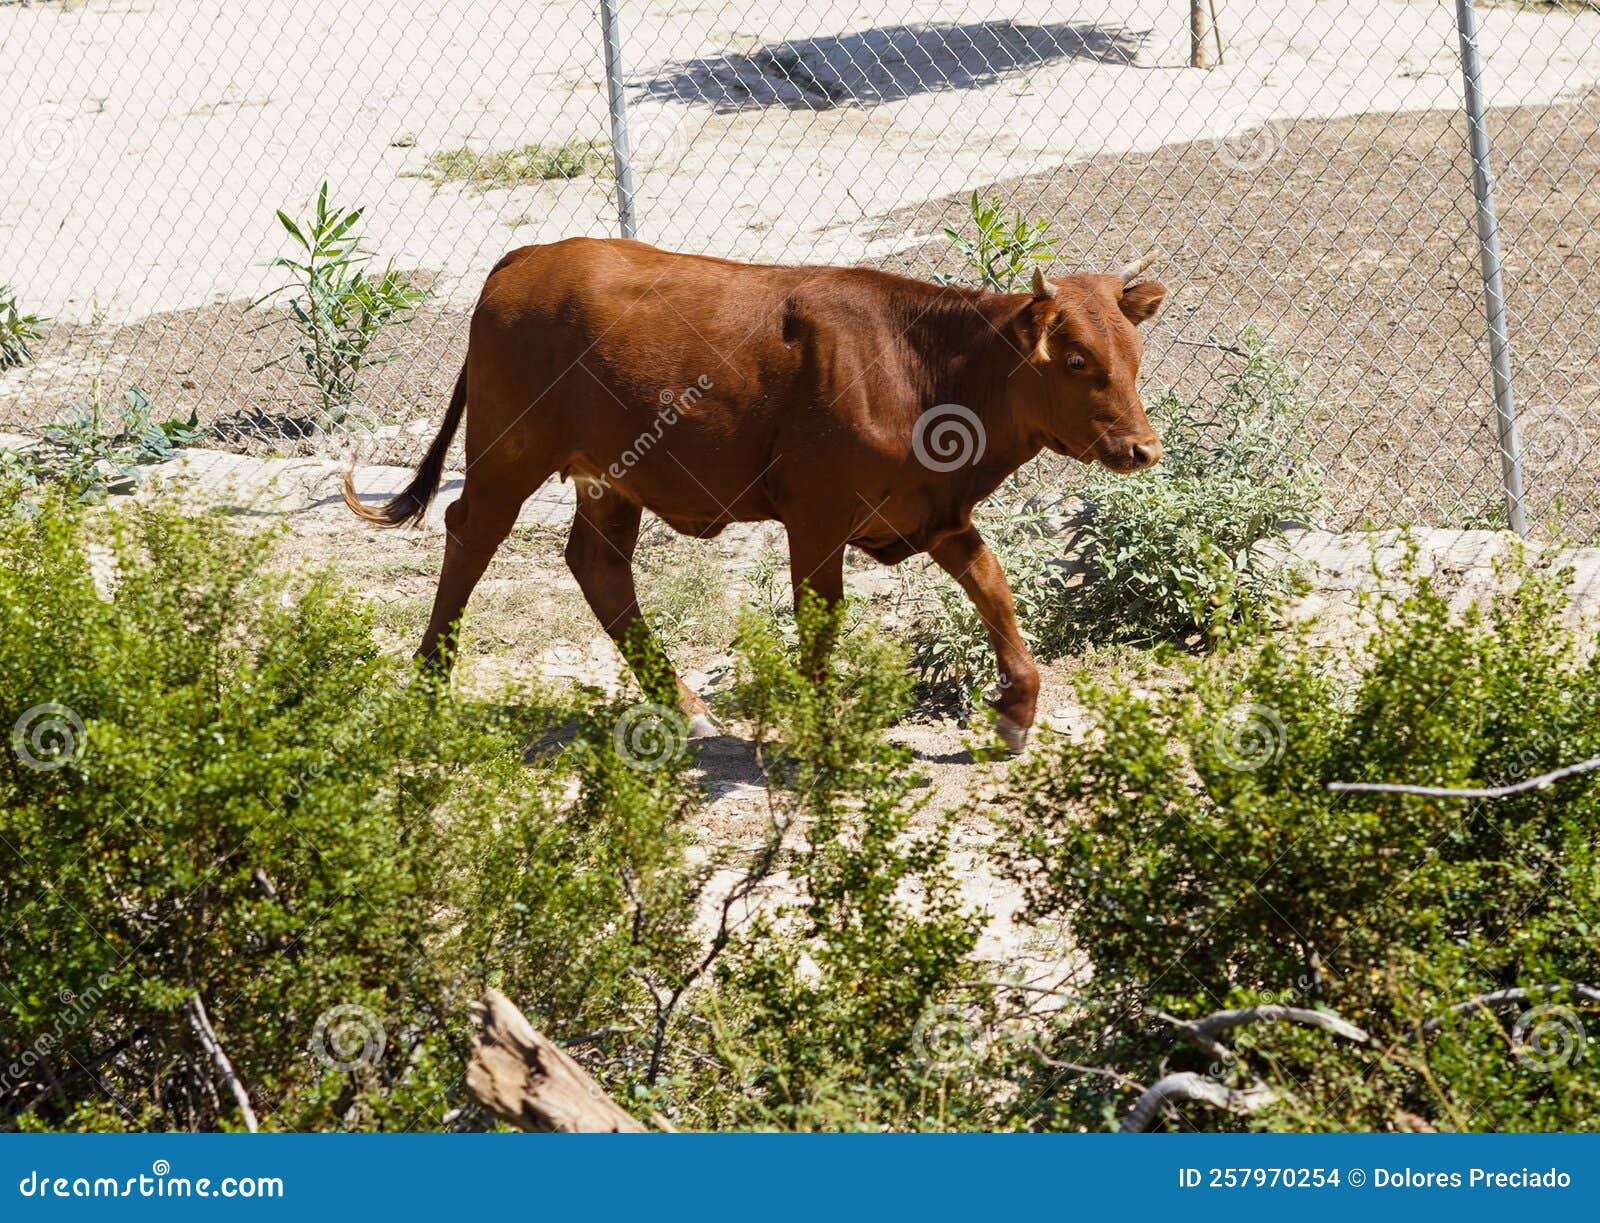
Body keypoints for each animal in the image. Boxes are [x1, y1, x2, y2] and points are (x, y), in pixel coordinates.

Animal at [343, 237, 1166, 750]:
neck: (923, 366)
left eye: (1134, 353)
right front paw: (819, 728)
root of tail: (531, 257)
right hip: (507, 453)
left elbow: (994, 590)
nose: (1143, 449)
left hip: (609, 475)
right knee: (470, 534)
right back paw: (429, 683)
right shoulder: (818, 517)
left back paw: (683, 706)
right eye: (1075, 358)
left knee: (598, 566)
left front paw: (1018, 708)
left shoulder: (935, 513)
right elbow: (822, 619)